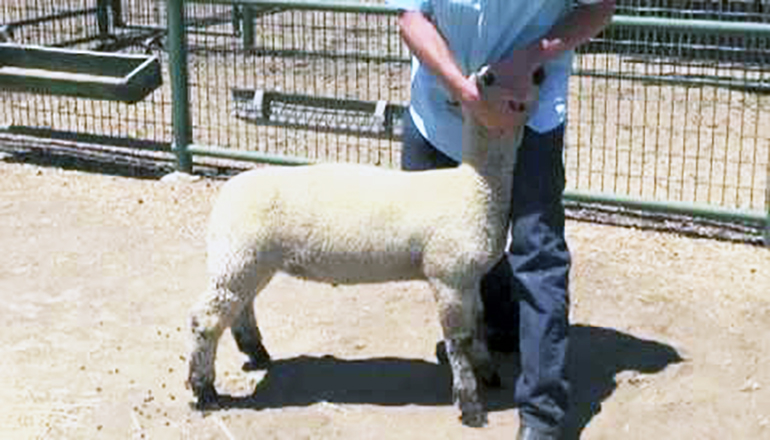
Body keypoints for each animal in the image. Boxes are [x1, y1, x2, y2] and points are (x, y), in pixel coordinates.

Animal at [187, 66, 543, 427]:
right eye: (496, 81)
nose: (541, 72)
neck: (475, 187)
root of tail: (228, 191)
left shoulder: (468, 277)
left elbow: (479, 324)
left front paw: (488, 372)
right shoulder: (448, 275)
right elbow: (459, 340)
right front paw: (470, 406)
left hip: (249, 259)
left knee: (239, 308)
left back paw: (256, 353)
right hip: (239, 256)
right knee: (206, 318)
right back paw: (204, 390)